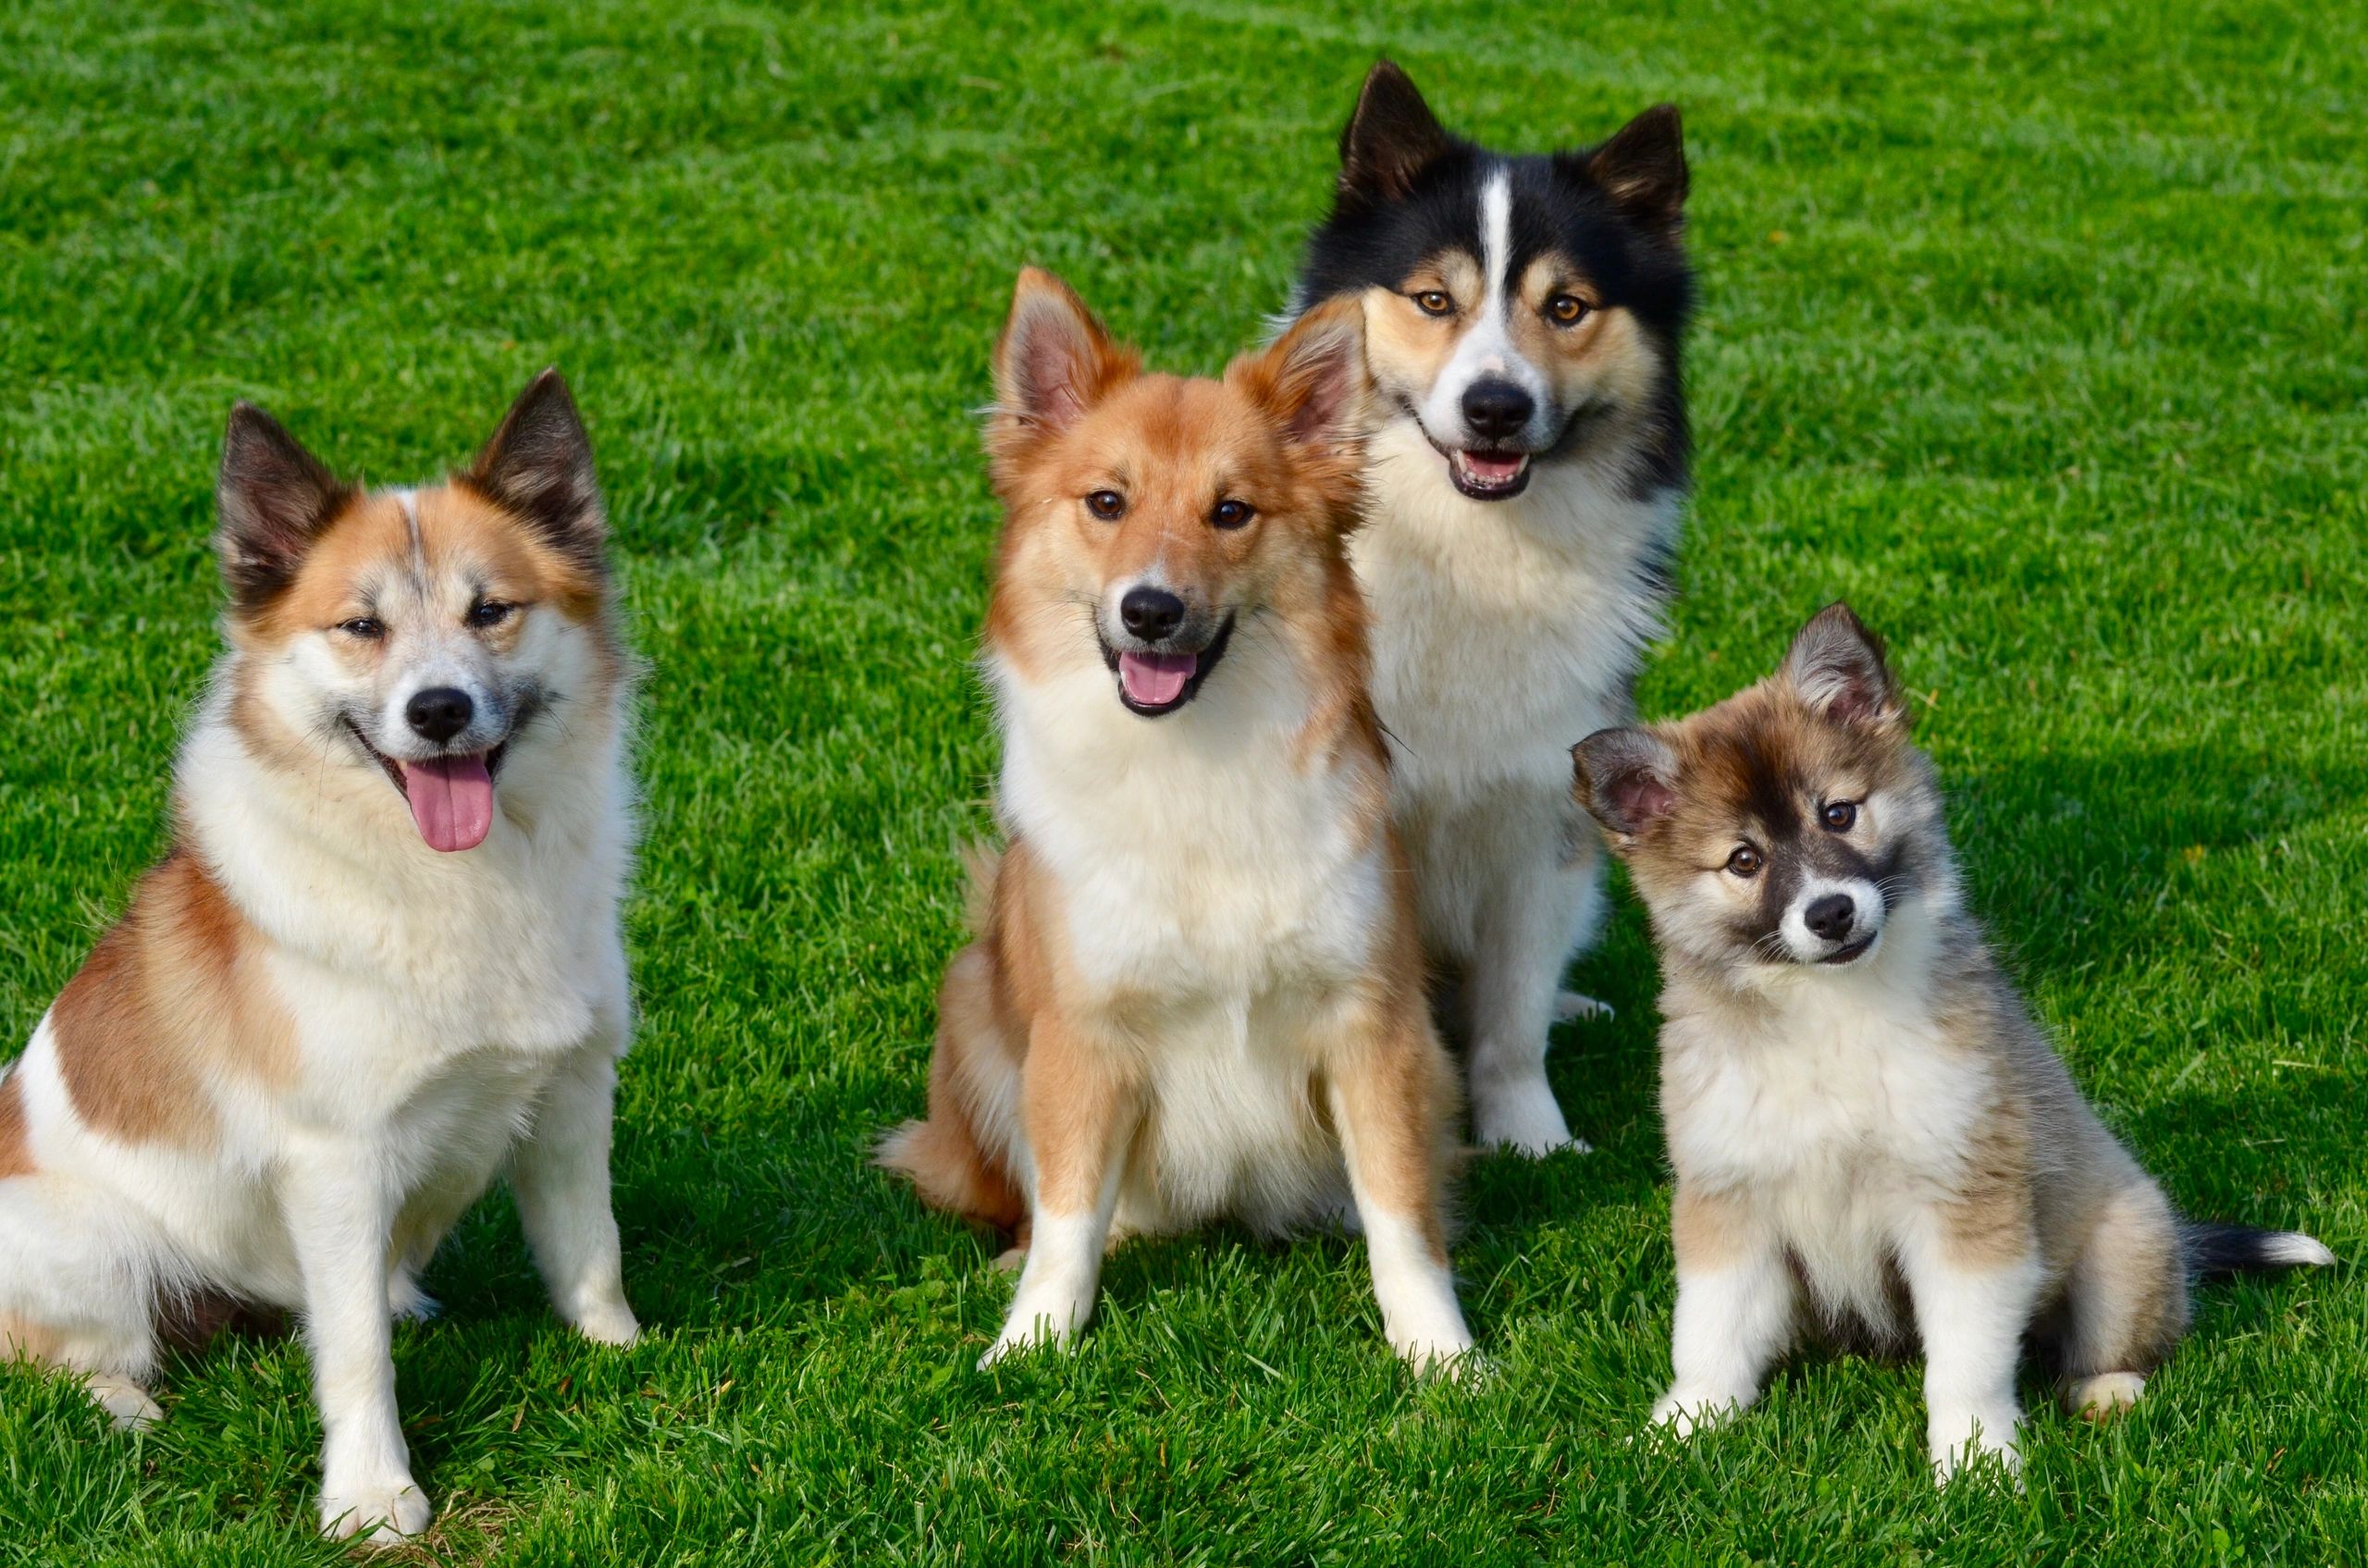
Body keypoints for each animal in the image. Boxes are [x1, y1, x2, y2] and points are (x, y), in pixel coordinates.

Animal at [1288, 64, 1695, 1155]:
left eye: (1567, 306)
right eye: (1434, 299)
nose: (1496, 409)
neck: (1473, 546)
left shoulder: (1539, 815)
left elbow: (1512, 1014)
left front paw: (1533, 1140)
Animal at [1572, 603, 2330, 1487]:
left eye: (1839, 813)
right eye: (1744, 859)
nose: (1830, 912)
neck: (1830, 1012)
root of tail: (2177, 1232)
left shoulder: (1965, 1199)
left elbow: (1966, 1358)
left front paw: (1975, 1462)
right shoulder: (1730, 1200)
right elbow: (1710, 1335)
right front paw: (1685, 1427)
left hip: (2123, 1245)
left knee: (2120, 1337)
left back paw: (2106, 1389)